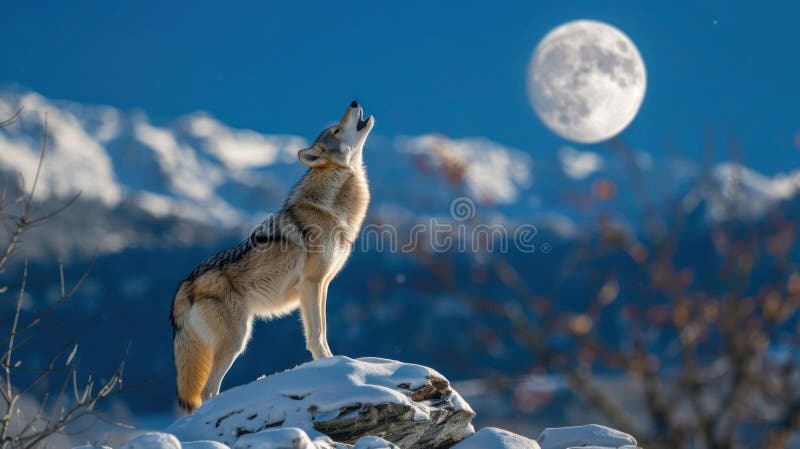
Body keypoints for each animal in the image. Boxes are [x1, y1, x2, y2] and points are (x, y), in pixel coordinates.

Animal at [170, 101, 374, 412]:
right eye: (337, 131)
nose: (353, 102)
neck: (331, 208)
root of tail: (185, 287)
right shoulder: (311, 283)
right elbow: (317, 335)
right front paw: (331, 366)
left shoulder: (324, 284)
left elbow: (322, 332)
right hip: (237, 340)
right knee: (207, 391)